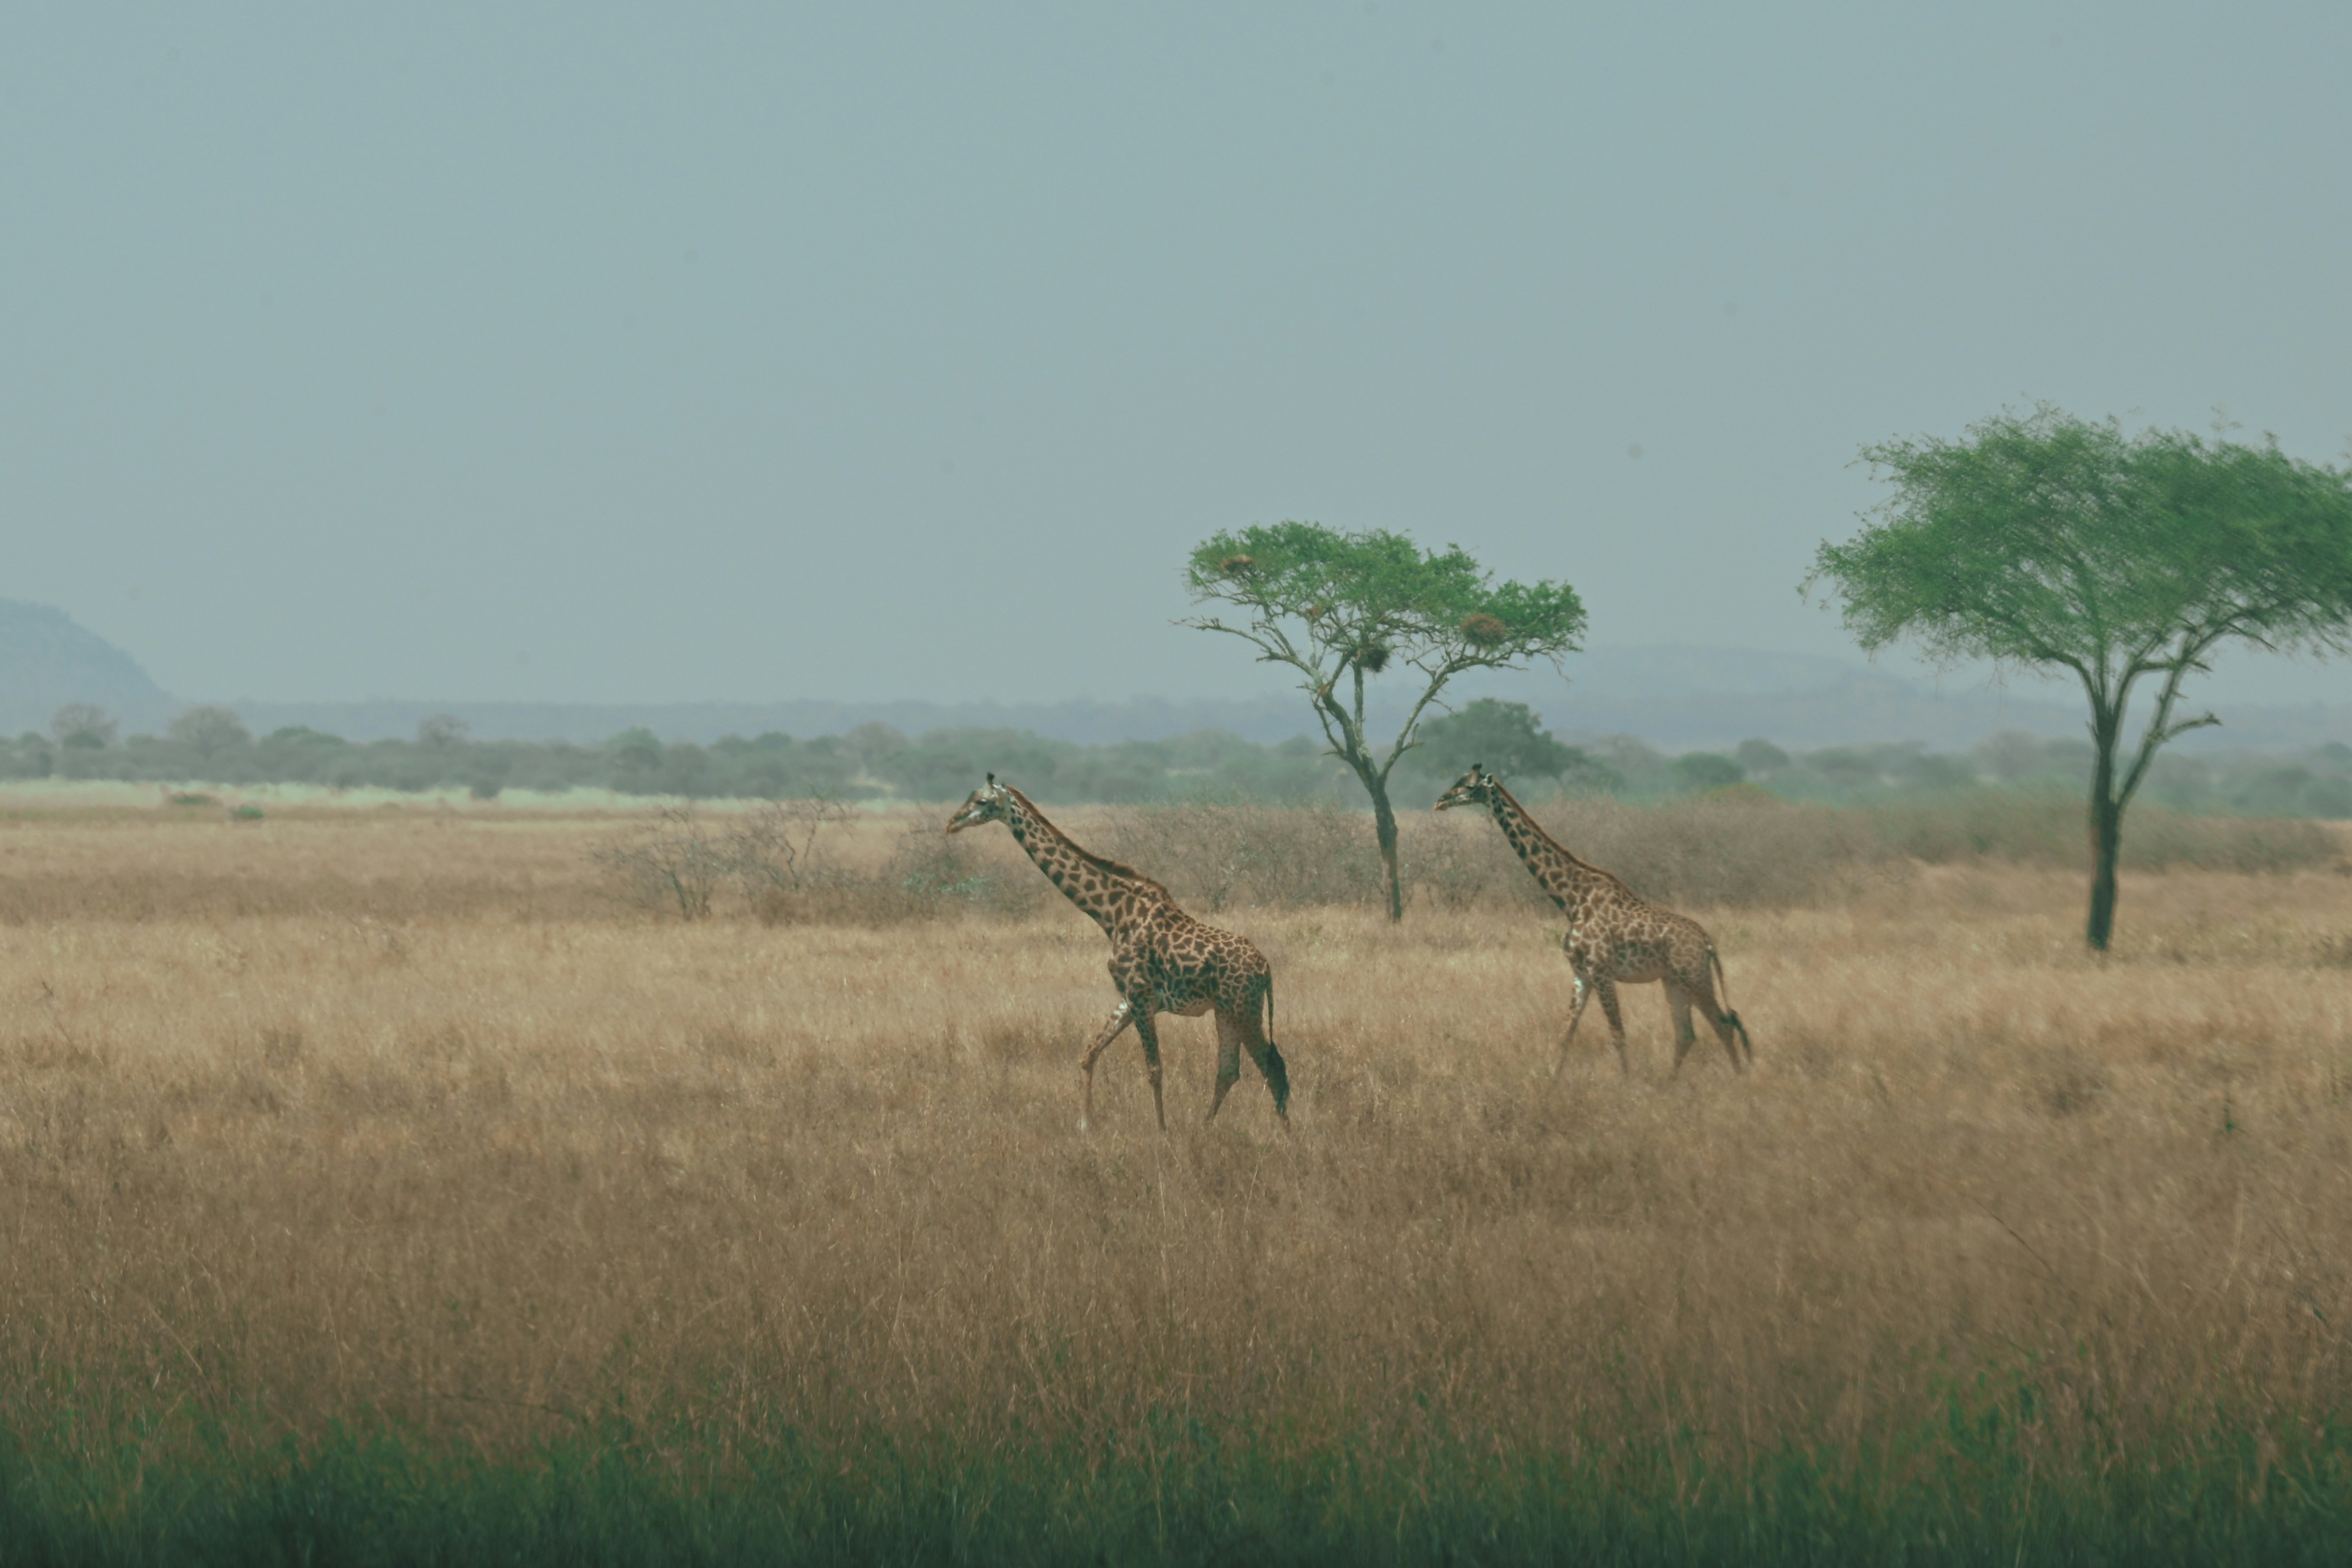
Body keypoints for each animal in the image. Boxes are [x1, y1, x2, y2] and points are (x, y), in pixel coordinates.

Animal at [945, 776, 1290, 1131]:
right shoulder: (1128, 998)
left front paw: (1161, 1131)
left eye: (983, 802)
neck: (1111, 915)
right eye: (970, 797)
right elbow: (1089, 1054)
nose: (952, 823)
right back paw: (1206, 1128)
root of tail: (1265, 967)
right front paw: (1085, 1125)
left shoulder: (1141, 995)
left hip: (1243, 1008)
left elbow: (1154, 1070)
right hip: (1226, 1011)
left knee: (1273, 1068)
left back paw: (1286, 1135)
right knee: (1230, 1071)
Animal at [1435, 764, 1752, 1077]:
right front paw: (1551, 1083)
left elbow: (1617, 1033)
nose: (1440, 801)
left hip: (1694, 977)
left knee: (1723, 1024)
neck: (1572, 900)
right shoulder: (1581, 973)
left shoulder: (1601, 970)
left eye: (1470, 786)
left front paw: (1626, 1085)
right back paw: (1670, 1084)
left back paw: (1738, 1079)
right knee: (1687, 1033)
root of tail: (1708, 943)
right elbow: (1566, 1033)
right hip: (1673, 980)